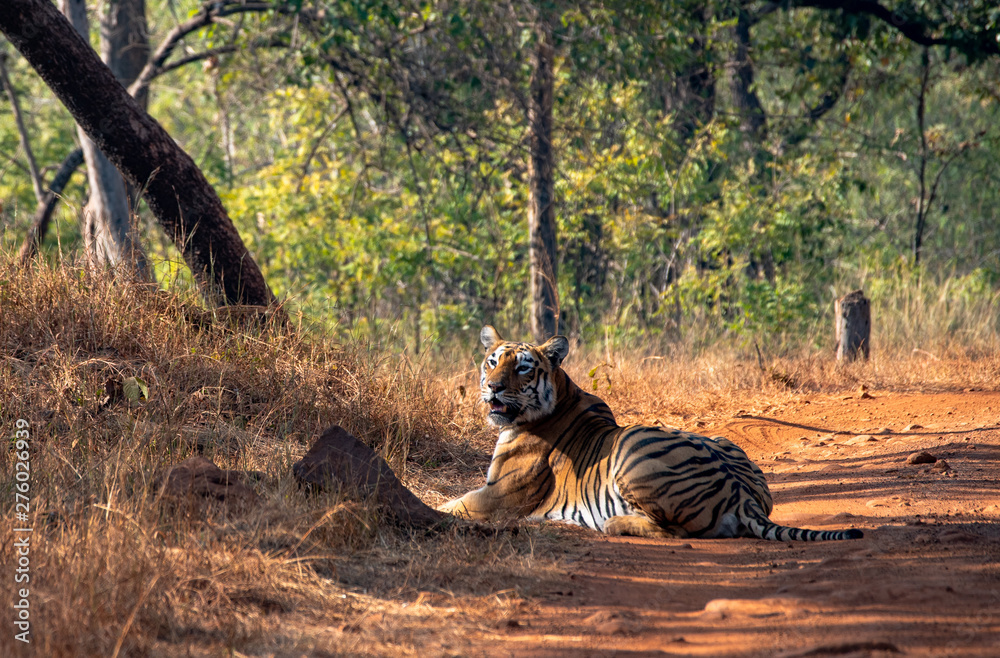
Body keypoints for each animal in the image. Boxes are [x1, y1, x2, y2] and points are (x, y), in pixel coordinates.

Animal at [438, 326, 864, 541]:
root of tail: (742, 495)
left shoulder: (498, 494)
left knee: (672, 530)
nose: (492, 387)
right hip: (724, 443)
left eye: (523, 368)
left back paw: (611, 524)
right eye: (492, 361)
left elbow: (448, 505)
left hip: (635, 445)